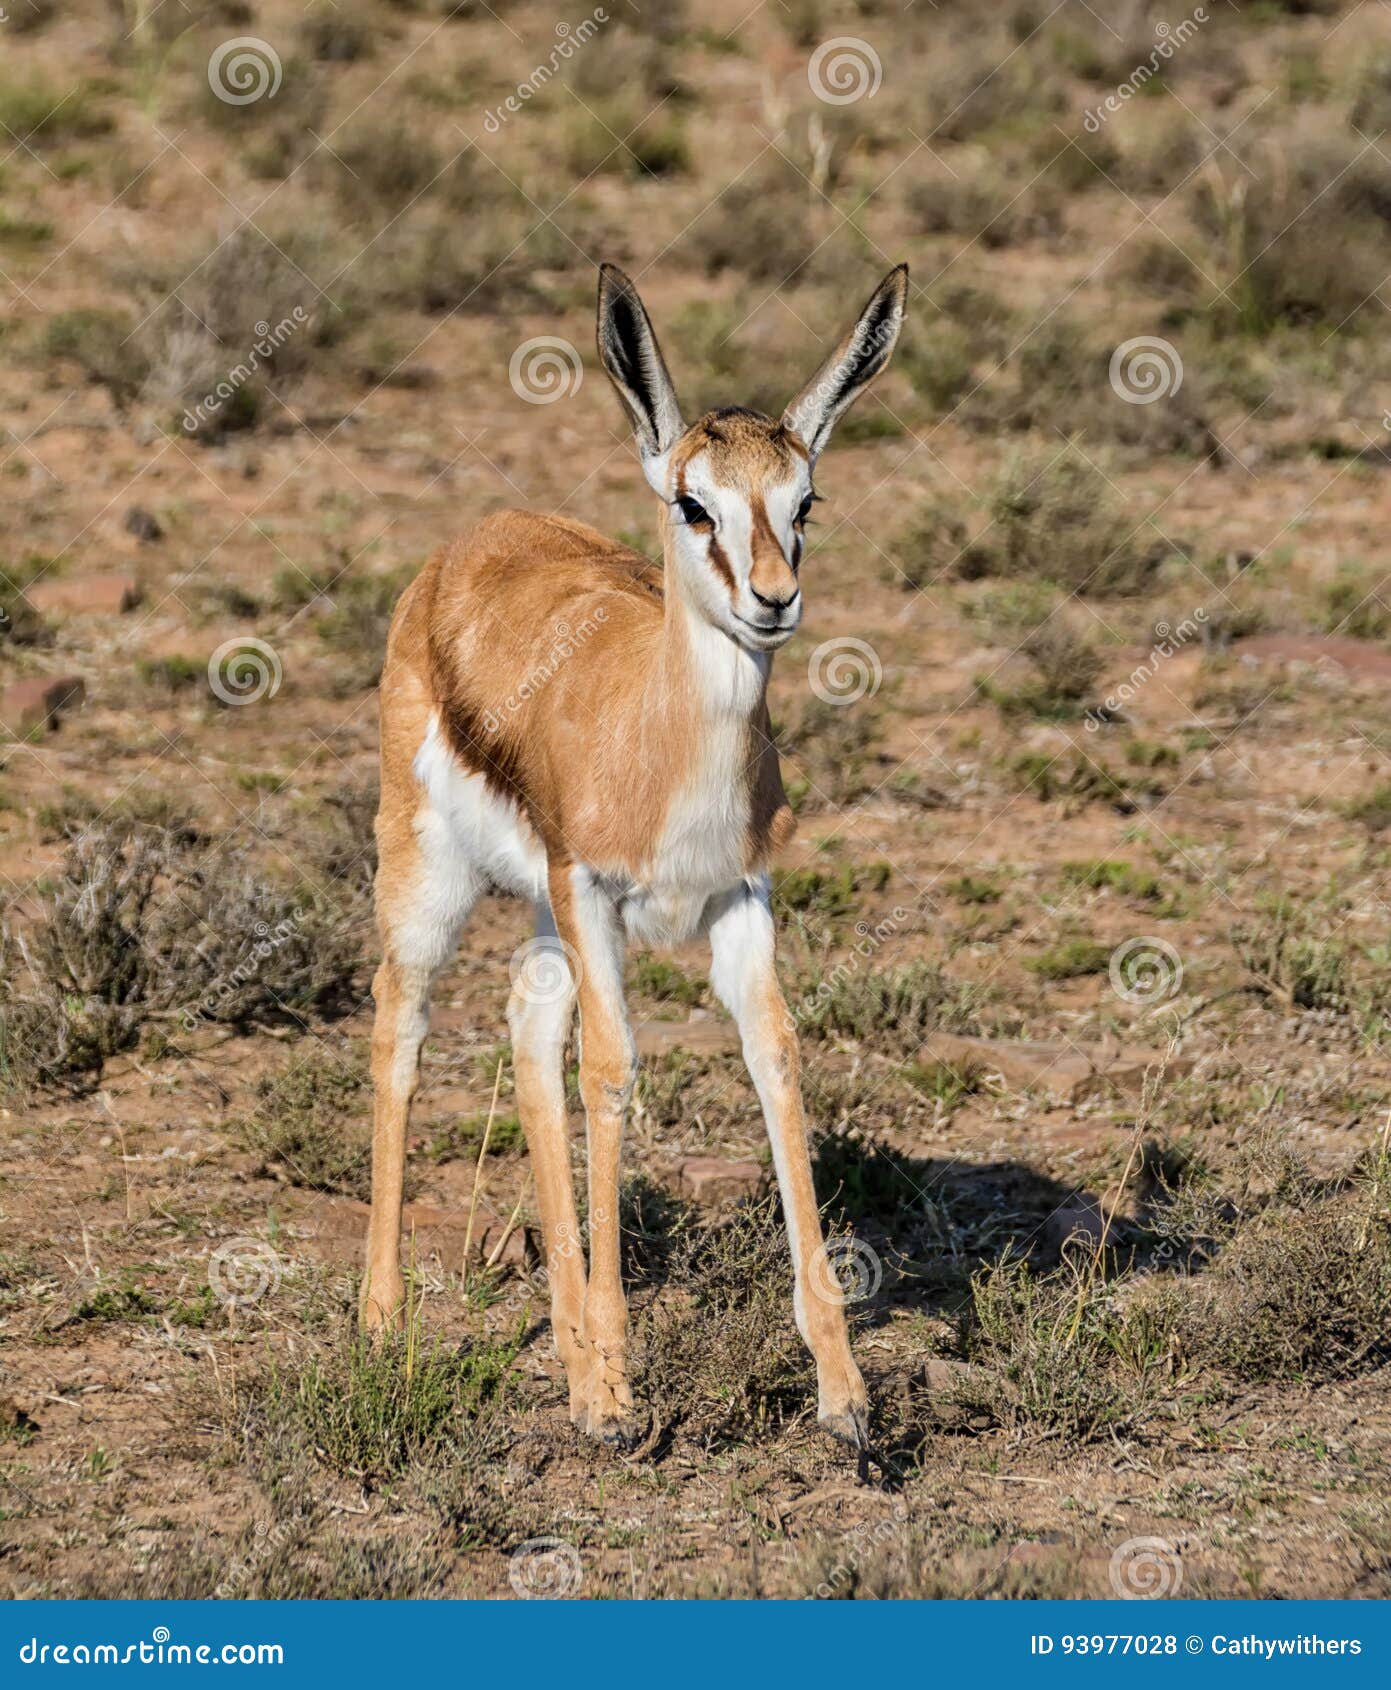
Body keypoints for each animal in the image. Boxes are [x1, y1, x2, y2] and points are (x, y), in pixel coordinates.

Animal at [361, 261, 908, 1449]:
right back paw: (382, 1325)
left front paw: (844, 1397)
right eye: (692, 503)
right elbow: (610, 1073)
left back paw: (565, 1352)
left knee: (526, 1028)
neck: (664, 745)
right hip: (431, 884)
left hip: (540, 915)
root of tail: (476, 539)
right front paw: (615, 1397)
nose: (773, 600)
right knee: (402, 1030)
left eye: (804, 502)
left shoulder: (739, 900)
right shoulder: (595, 893)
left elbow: (775, 1056)